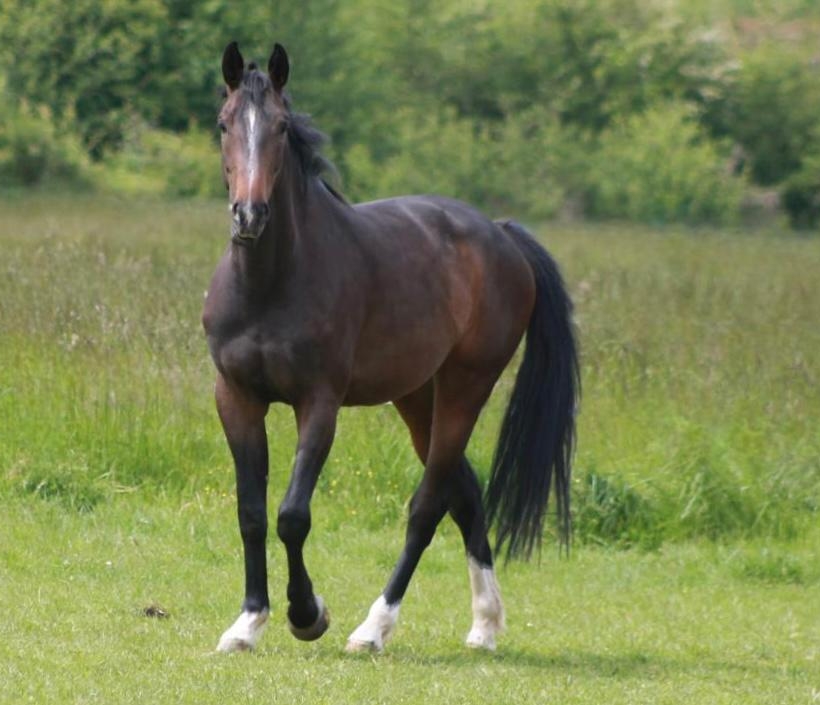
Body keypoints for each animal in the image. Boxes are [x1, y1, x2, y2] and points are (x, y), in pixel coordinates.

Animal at [202, 41, 579, 654]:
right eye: (223, 123)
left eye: (281, 127)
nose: (250, 215)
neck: (269, 283)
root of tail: (500, 234)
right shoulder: (236, 398)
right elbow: (252, 513)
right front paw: (248, 621)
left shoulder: (319, 403)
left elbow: (292, 514)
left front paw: (307, 614)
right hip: (417, 398)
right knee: (464, 493)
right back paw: (484, 624)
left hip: (465, 389)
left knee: (428, 507)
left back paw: (374, 628)